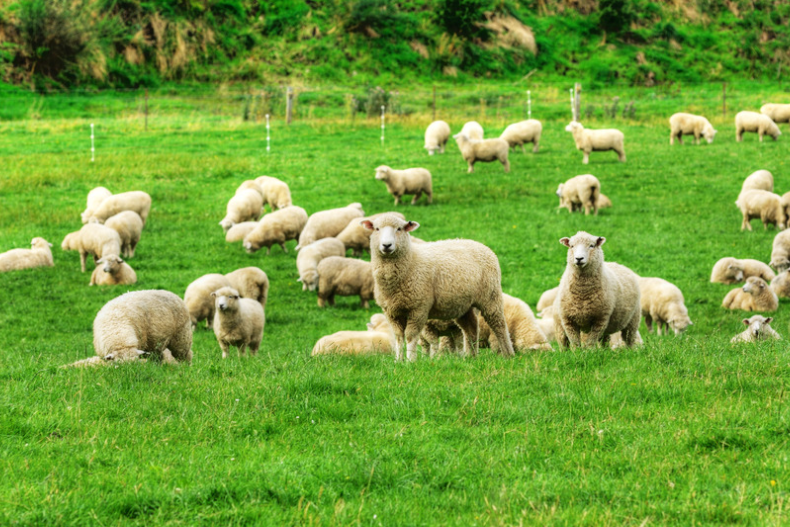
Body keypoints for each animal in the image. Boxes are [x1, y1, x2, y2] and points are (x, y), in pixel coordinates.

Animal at [361, 213, 514, 361]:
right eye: (376, 229)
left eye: (399, 229)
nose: (387, 245)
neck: (410, 262)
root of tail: (482, 245)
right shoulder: (392, 312)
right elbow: (399, 337)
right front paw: (398, 361)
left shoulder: (419, 309)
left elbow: (410, 336)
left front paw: (410, 361)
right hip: (464, 305)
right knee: (471, 327)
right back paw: (471, 357)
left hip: (490, 296)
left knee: (499, 325)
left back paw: (508, 354)